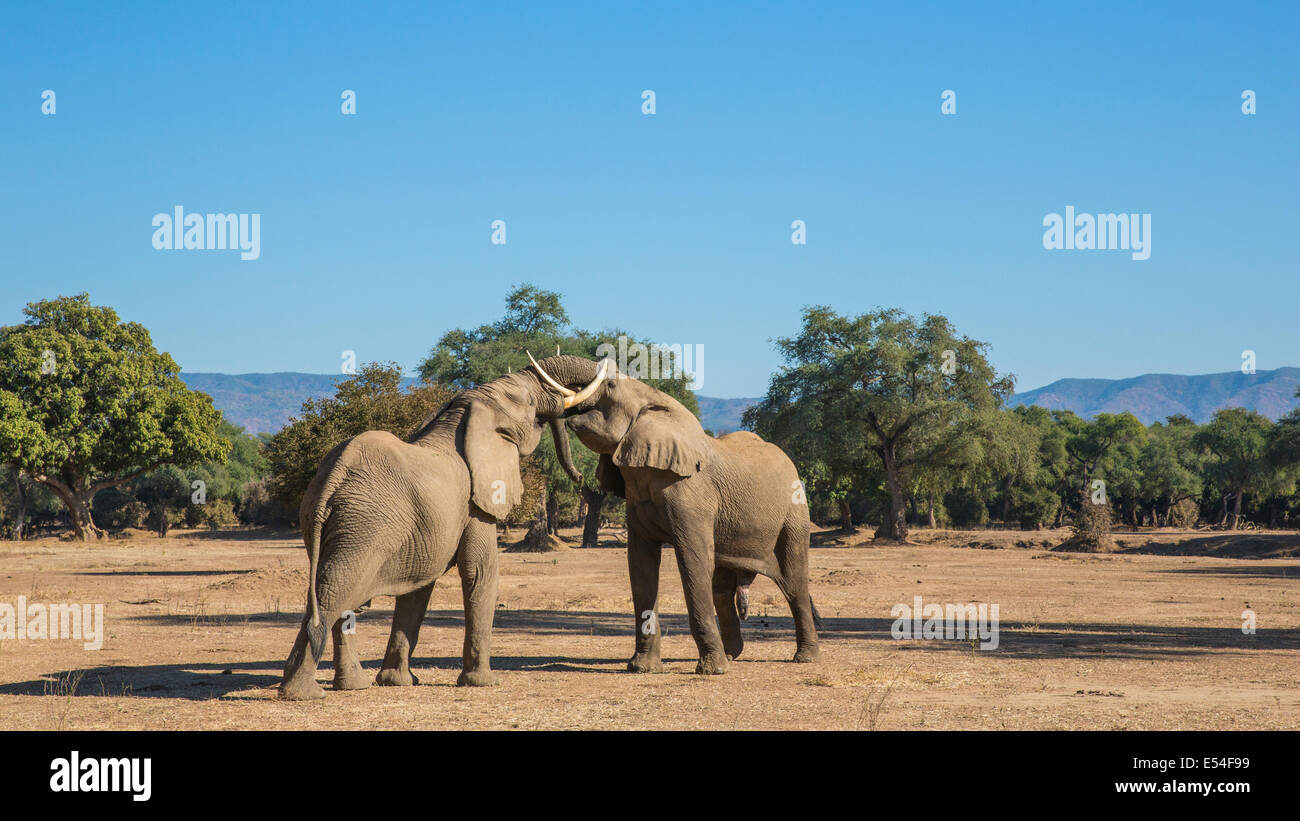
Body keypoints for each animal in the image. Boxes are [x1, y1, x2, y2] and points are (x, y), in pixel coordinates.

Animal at [278, 355, 604, 700]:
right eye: (528, 402)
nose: (581, 477)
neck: (465, 415)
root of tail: (333, 476)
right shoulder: (475, 505)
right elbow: (481, 572)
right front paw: (483, 683)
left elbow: (417, 589)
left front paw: (398, 681)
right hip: (364, 526)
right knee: (334, 592)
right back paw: (303, 693)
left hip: (334, 522)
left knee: (337, 595)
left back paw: (352, 685)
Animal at [532, 354, 821, 675]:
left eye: (610, 386)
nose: (579, 476)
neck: (655, 402)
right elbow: (641, 565)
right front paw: (641, 668)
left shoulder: (691, 494)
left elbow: (693, 562)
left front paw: (712, 671)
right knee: (722, 588)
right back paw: (732, 655)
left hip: (794, 512)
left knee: (793, 582)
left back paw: (804, 658)